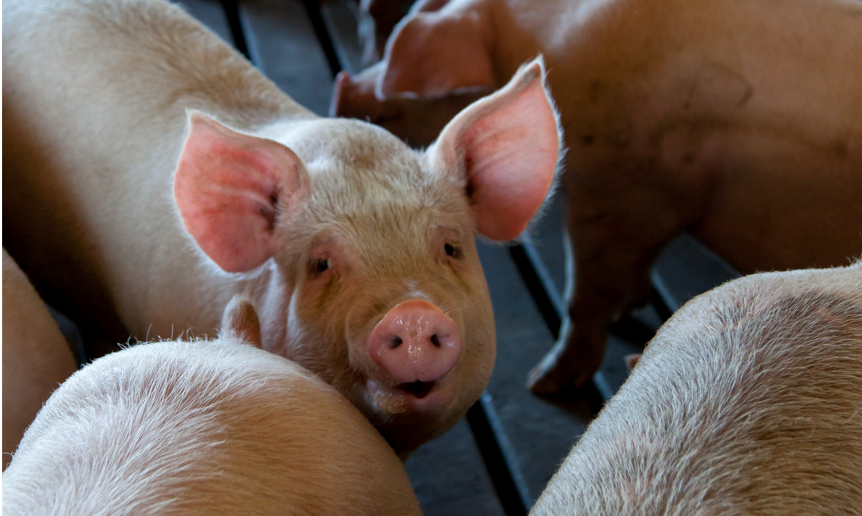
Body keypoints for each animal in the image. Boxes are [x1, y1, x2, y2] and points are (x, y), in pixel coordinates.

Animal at [332, 0, 862, 394]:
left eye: (402, 94)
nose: (343, 89)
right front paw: (630, 307)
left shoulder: (621, 191)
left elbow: (585, 295)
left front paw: (542, 384)